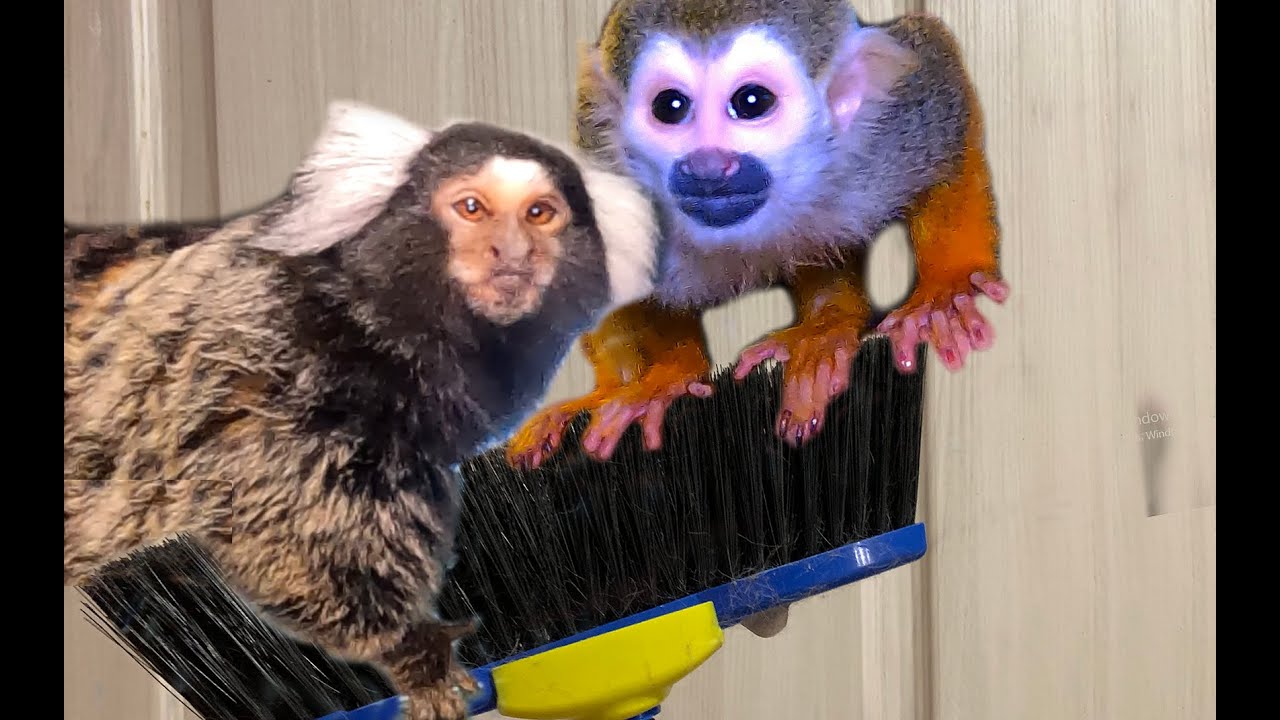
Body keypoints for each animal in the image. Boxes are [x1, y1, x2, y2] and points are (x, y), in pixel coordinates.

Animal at [64, 101, 661, 720]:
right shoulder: (272, 348)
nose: (514, 254)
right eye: (472, 207)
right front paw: (411, 650)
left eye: (540, 213)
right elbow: (285, 526)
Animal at [505, 2, 1010, 470]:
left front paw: (946, 288)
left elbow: (944, 105)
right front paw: (669, 376)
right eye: (671, 107)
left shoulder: (889, 129)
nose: (708, 165)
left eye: (752, 102)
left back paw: (828, 323)